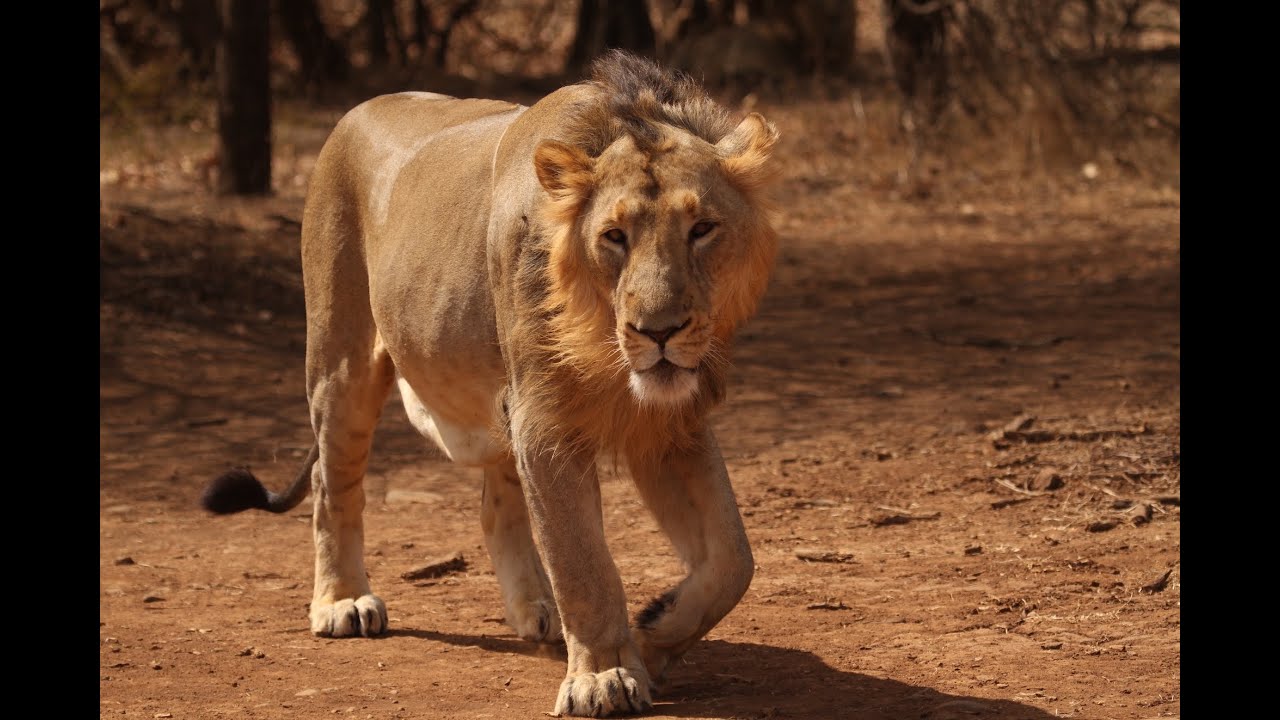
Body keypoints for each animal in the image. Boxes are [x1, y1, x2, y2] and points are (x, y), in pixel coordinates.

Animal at [202, 50, 780, 717]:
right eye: (614, 237)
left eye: (702, 228)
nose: (658, 331)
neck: (606, 350)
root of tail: (355, 114)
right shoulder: (546, 422)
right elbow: (583, 562)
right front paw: (604, 676)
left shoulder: (668, 423)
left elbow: (734, 559)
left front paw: (656, 632)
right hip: (342, 363)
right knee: (331, 481)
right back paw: (343, 601)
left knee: (495, 502)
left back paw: (537, 611)